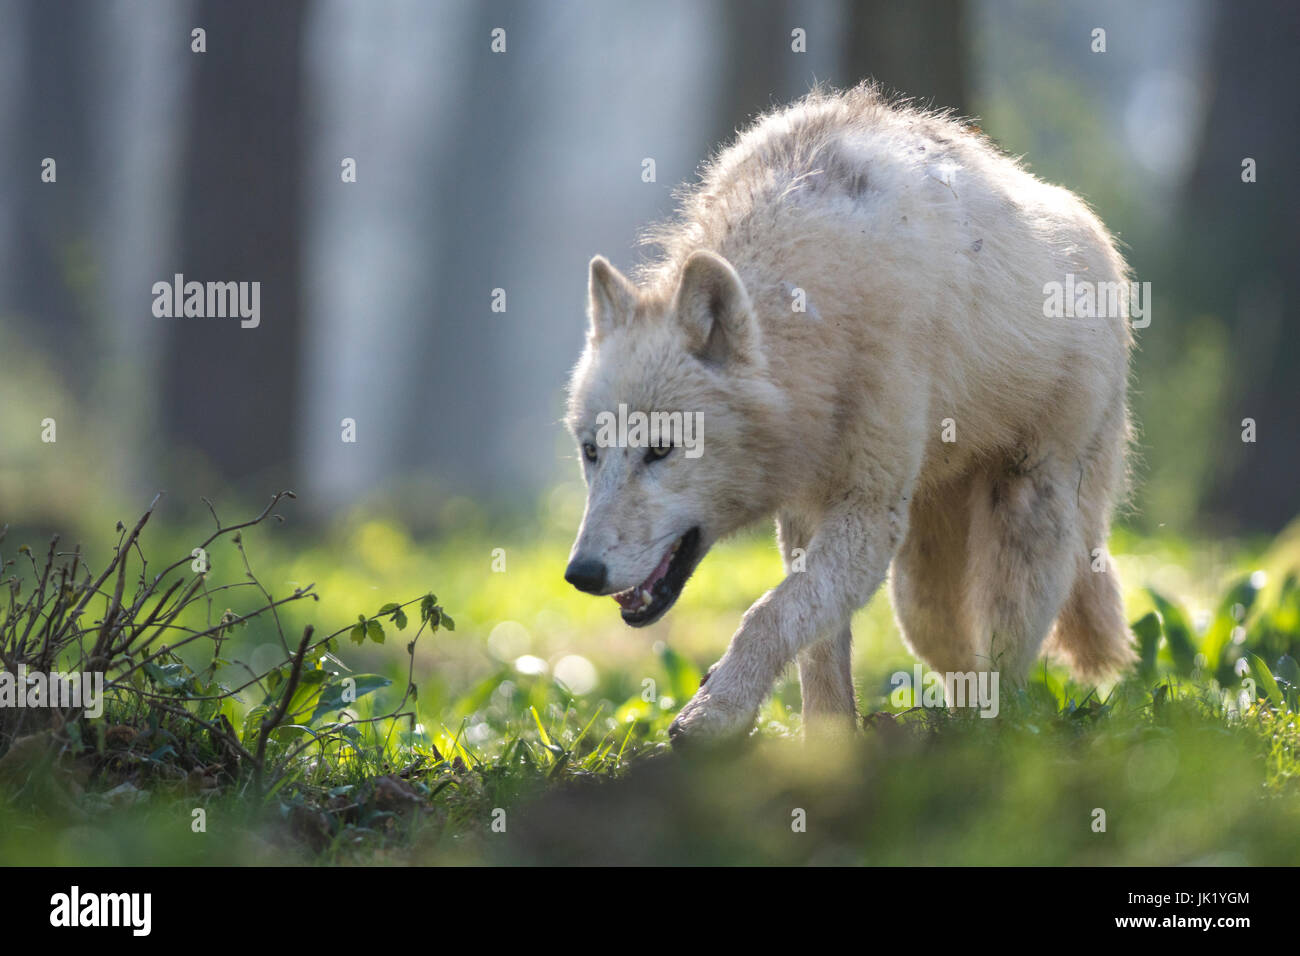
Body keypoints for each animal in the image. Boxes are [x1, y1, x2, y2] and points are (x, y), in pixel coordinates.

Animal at [563, 83, 1136, 743]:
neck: (822, 313)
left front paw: (713, 711)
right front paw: (828, 746)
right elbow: (815, 646)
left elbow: (768, 614)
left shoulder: (866, 510)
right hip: (919, 579)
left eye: (661, 448)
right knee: (950, 651)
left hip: (1024, 504)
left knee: (1008, 650)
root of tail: (1098, 237)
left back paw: (991, 733)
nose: (581, 573)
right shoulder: (807, 513)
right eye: (590, 452)